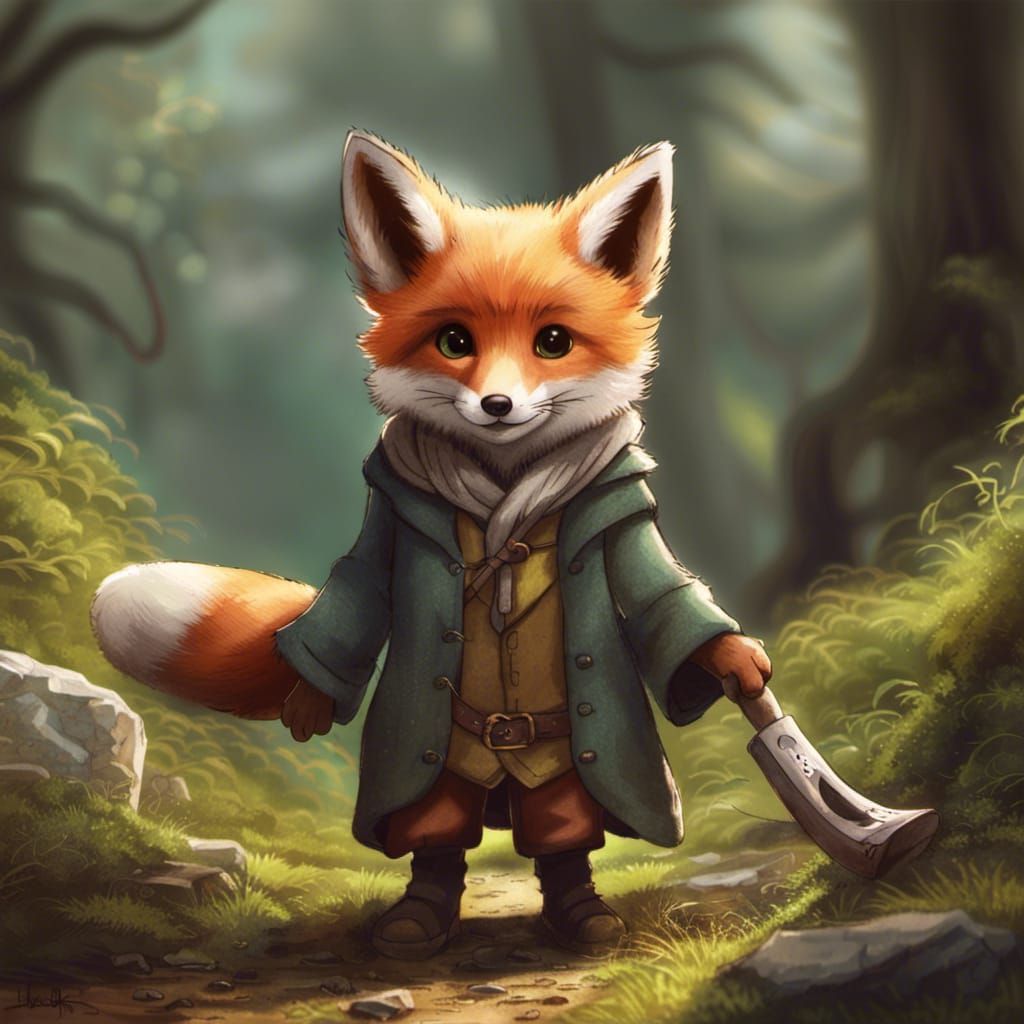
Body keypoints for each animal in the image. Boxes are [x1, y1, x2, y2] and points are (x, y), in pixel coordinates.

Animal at [92, 130, 771, 960]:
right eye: (454, 341)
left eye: (552, 341)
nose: (498, 404)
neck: (509, 487)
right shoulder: (386, 523)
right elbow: (358, 590)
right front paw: (312, 696)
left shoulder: (623, 520)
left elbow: (660, 594)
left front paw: (732, 658)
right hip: (437, 760)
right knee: (438, 822)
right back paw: (418, 919)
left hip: (564, 770)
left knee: (560, 823)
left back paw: (582, 914)